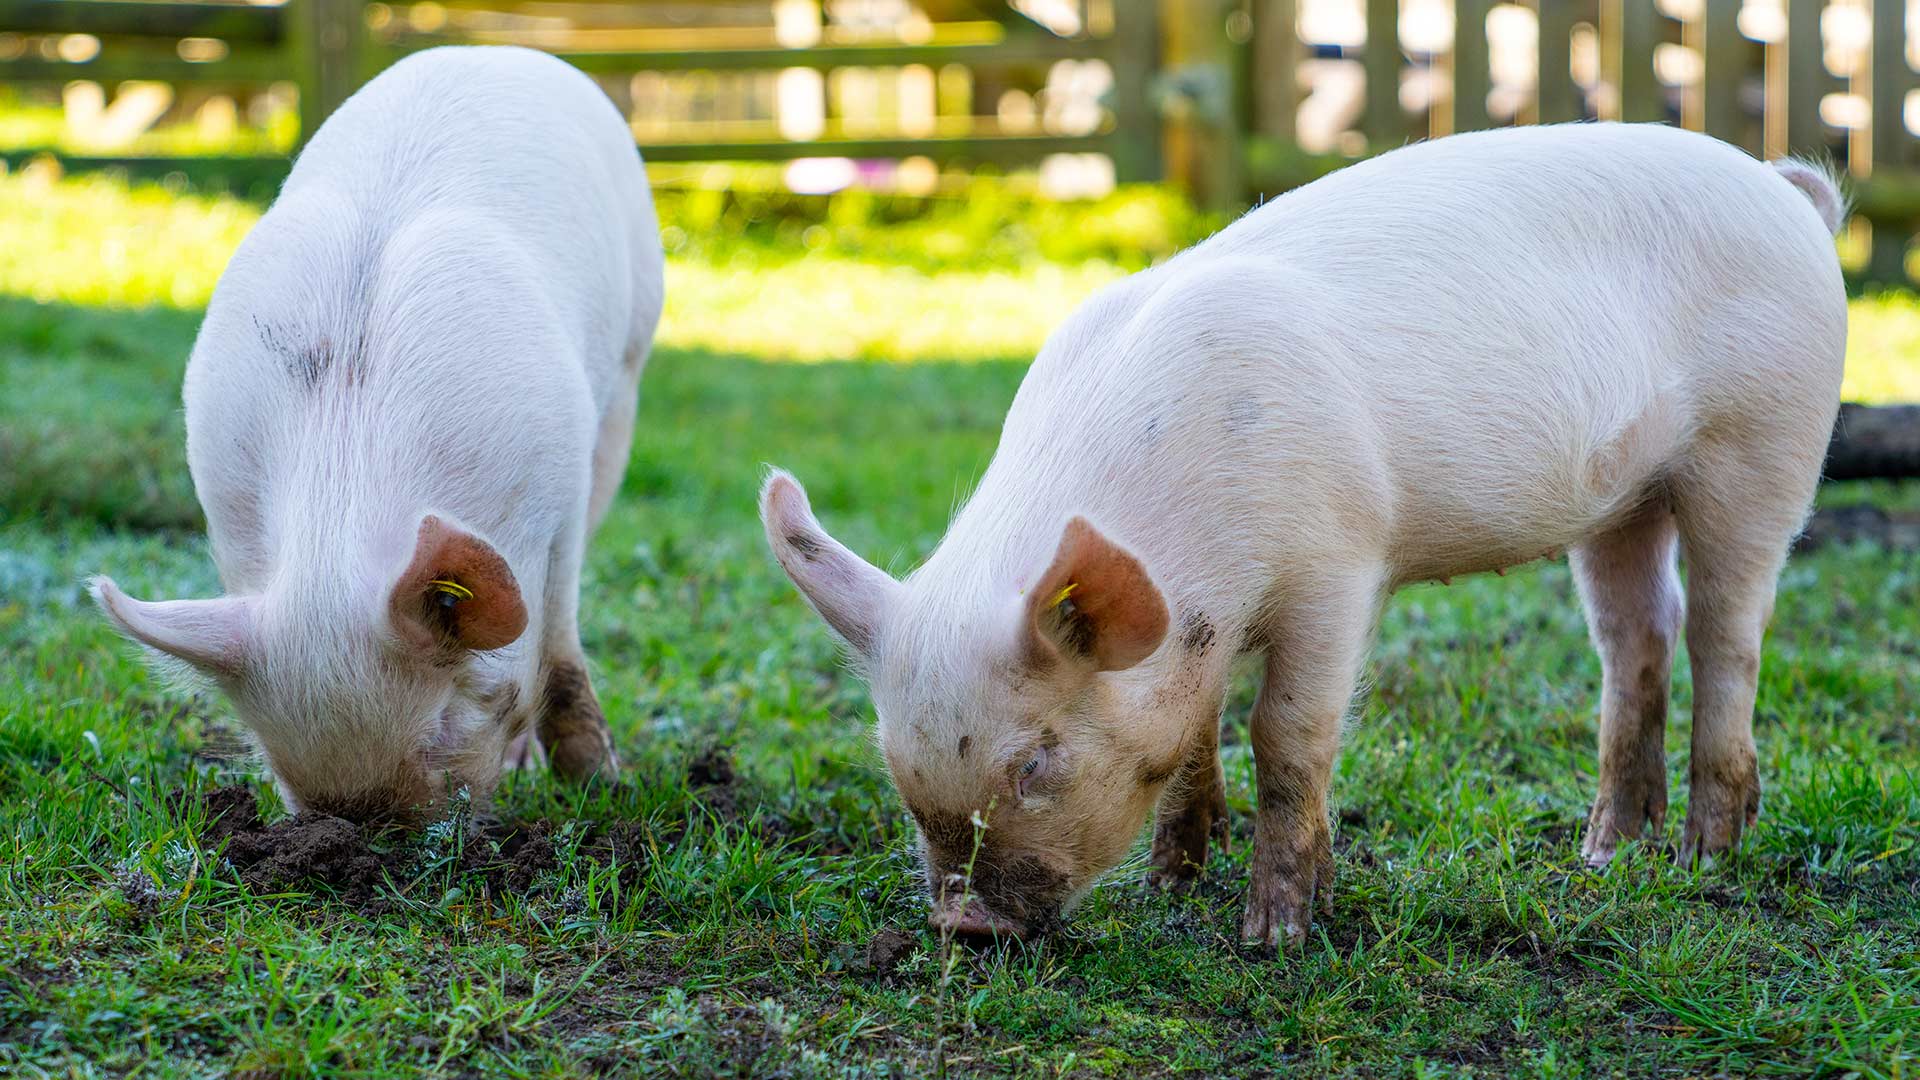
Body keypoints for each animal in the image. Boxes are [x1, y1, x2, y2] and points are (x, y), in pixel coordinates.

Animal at [91, 46, 664, 820]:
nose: (369, 823)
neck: (345, 464)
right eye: (266, 743)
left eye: (444, 719)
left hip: (632, 356)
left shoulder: (560, 485)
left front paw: (599, 782)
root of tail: (490, 50)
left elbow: (557, 636)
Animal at [761, 122, 1847, 949]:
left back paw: (1704, 858)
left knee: (1726, 633)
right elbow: (1193, 733)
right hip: (1623, 499)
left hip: (1765, 444)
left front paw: (1274, 935)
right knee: (1635, 637)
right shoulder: (1200, 619)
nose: (963, 923)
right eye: (898, 765)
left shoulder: (1341, 565)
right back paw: (1605, 854)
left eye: (1035, 761)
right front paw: (1172, 883)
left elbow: (1285, 736)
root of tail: (1789, 195)